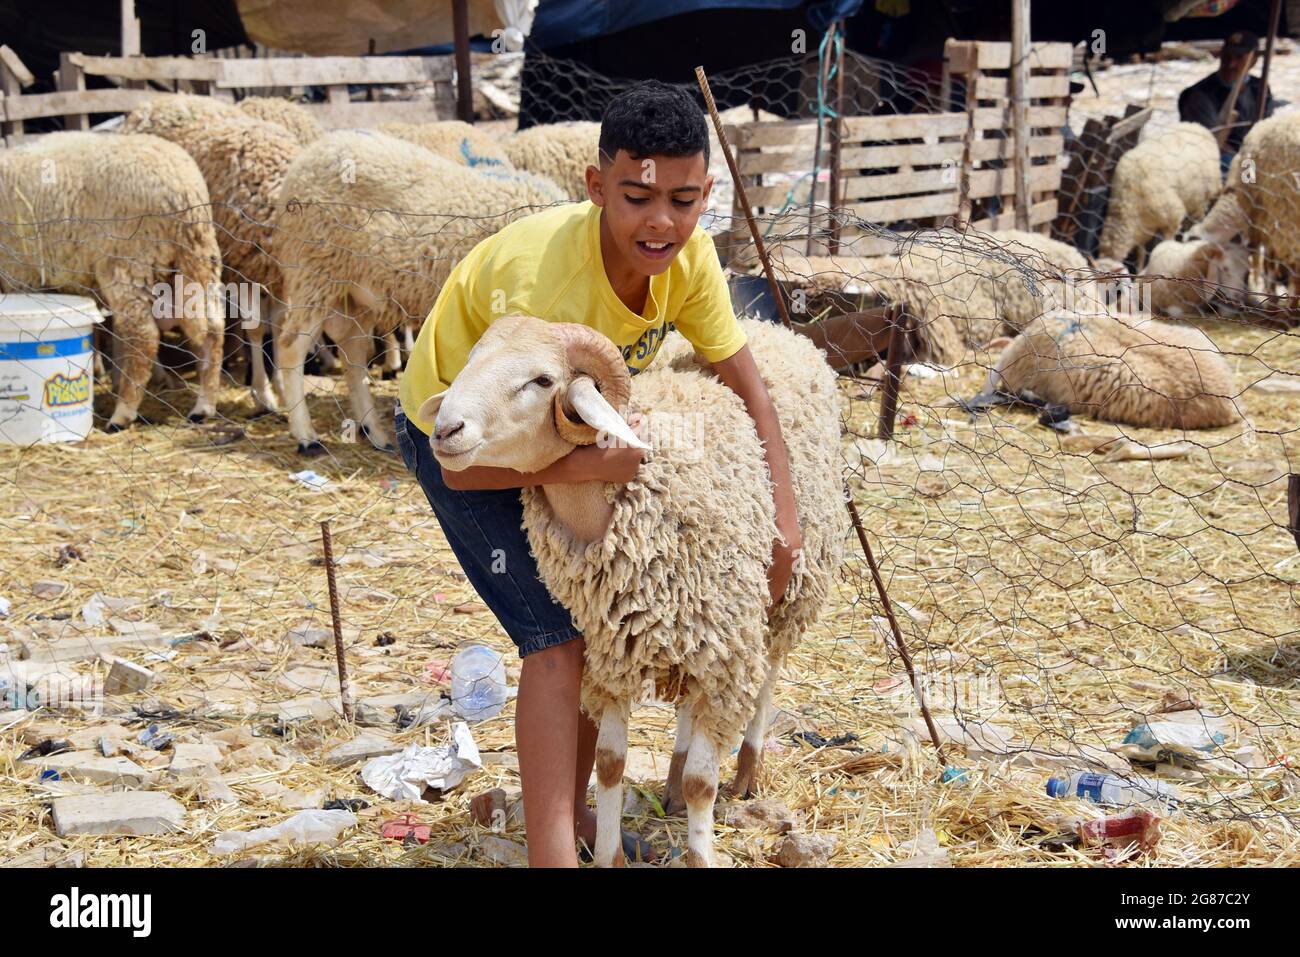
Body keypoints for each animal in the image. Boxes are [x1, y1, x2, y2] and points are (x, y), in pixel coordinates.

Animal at [0, 132, 224, 429]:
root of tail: (182, 190)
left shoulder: (19, 274)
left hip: (130, 261)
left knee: (144, 336)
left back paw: (122, 414)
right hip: (198, 259)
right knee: (212, 329)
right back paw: (203, 407)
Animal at [123, 100, 303, 413]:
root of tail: (150, 104)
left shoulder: (278, 276)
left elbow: (279, 328)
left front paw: (281, 387)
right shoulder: (243, 270)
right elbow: (256, 329)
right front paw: (263, 393)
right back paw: (165, 376)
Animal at [273, 130, 566, 454]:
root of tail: (313, 152)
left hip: (357, 292)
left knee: (353, 354)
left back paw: (374, 432)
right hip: (314, 270)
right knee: (291, 346)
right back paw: (305, 435)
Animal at [1098, 122, 1222, 270]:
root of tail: (1200, 127)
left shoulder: (1173, 219)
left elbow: (1166, 245)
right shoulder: (1142, 229)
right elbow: (1141, 251)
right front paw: (1139, 269)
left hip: (1201, 199)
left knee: (1197, 219)